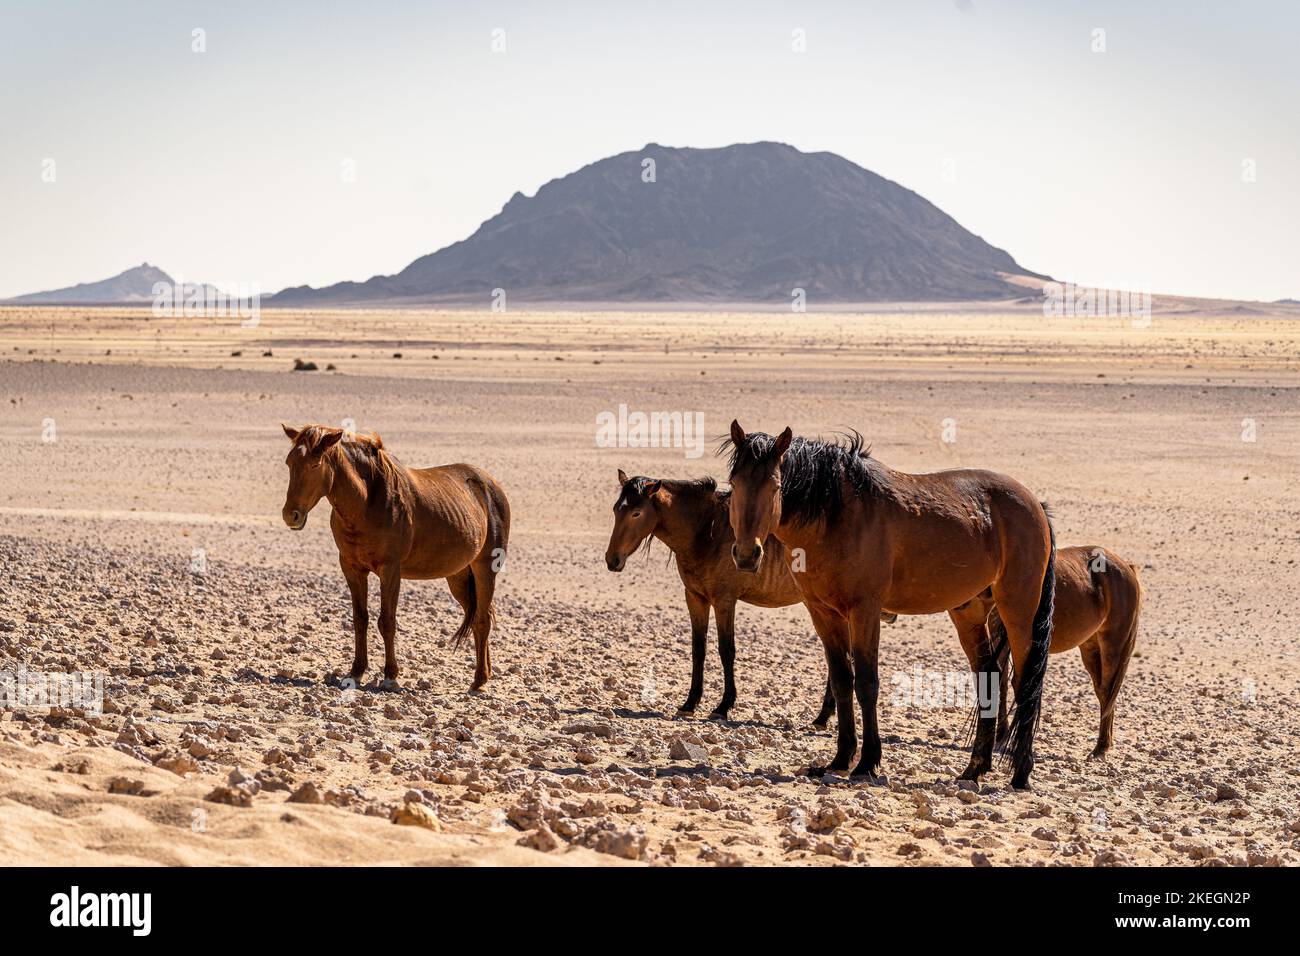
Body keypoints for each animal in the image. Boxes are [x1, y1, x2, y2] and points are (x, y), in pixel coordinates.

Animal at [279, 424, 510, 692]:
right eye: (289, 462)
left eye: (315, 464)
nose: (291, 515)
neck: (367, 502)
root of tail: (490, 485)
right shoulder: (352, 568)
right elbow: (360, 619)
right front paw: (356, 672)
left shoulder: (390, 571)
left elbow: (387, 622)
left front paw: (390, 676)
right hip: (458, 577)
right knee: (479, 617)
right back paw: (485, 674)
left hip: (485, 568)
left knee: (482, 620)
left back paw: (479, 680)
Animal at [724, 421, 1055, 789]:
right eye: (734, 483)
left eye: (775, 486)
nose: (746, 554)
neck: (837, 513)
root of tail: (1035, 505)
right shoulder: (823, 613)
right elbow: (842, 681)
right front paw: (839, 759)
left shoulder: (864, 612)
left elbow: (866, 683)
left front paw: (867, 762)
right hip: (969, 612)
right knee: (989, 676)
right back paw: (975, 768)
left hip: (1018, 611)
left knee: (1026, 684)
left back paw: (1020, 772)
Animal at [811, 546, 1141, 760]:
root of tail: (1126, 566)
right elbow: (1002, 682)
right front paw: (1001, 734)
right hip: (1090, 647)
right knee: (1103, 690)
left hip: (1112, 644)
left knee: (1108, 691)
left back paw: (1100, 748)